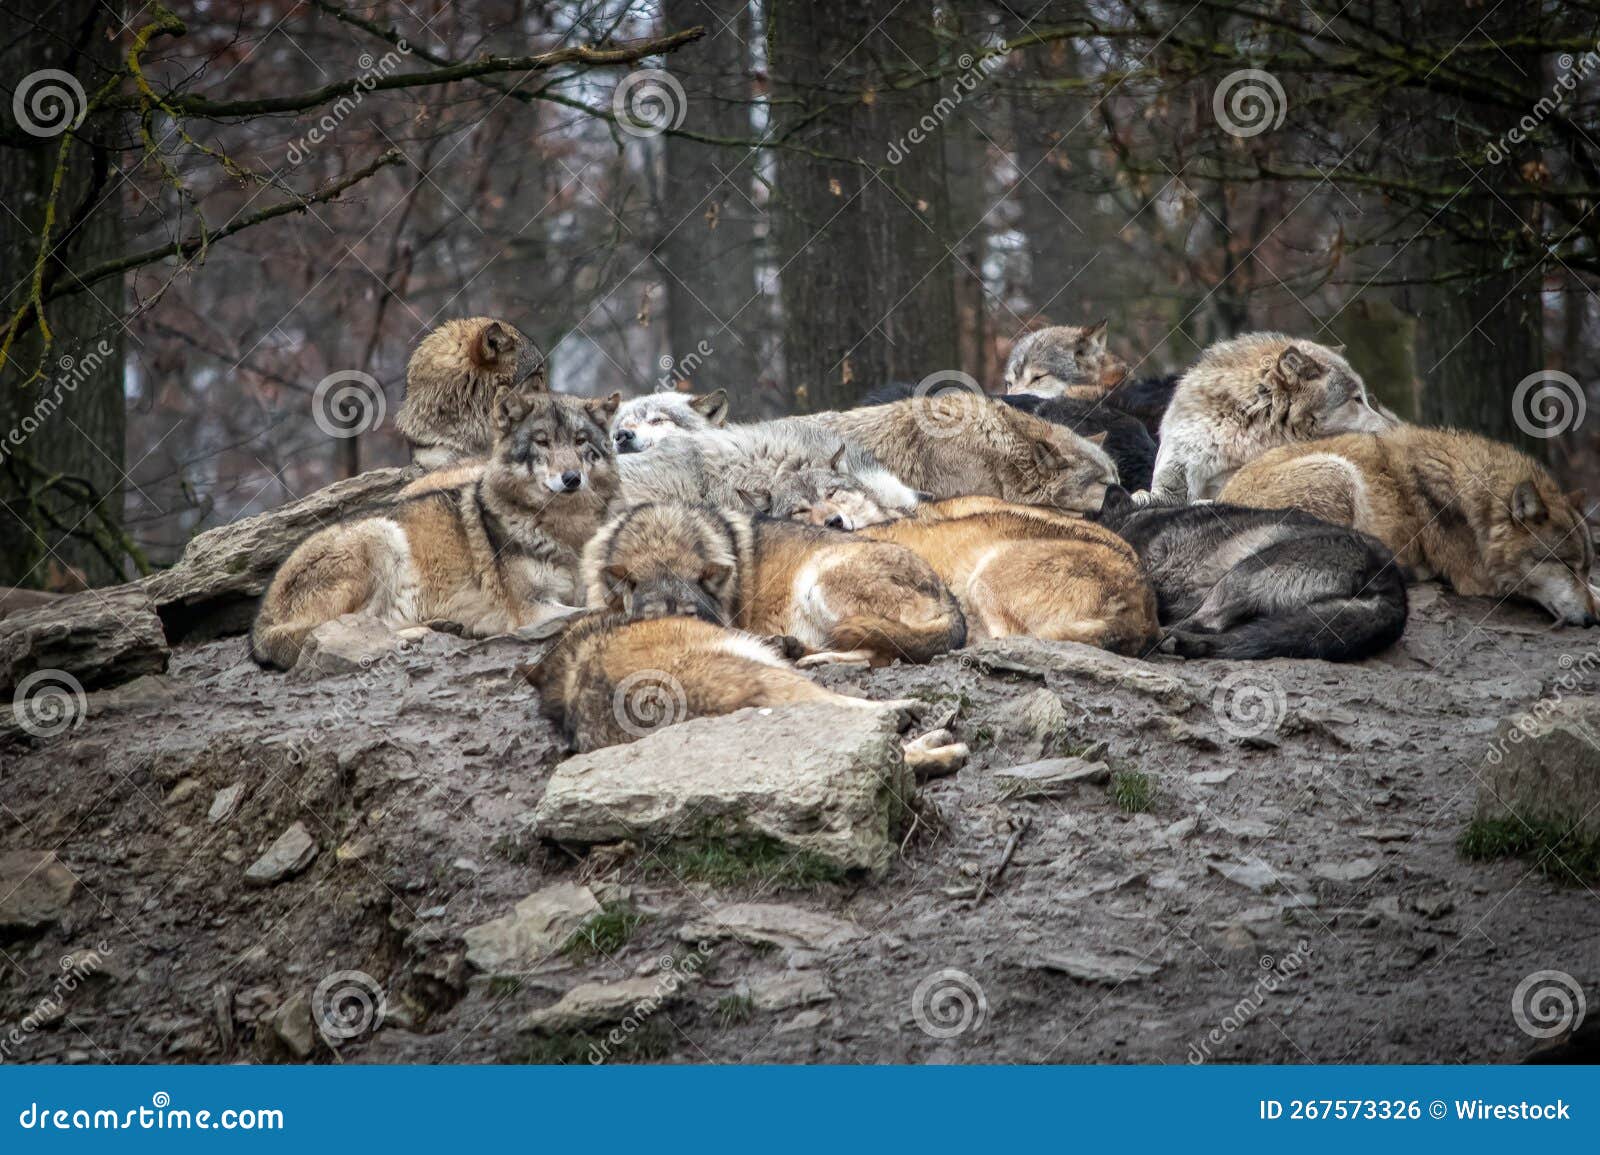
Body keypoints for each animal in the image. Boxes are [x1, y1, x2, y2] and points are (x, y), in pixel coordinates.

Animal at [251, 383, 618, 669]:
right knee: (347, 627)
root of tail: (260, 625)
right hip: (381, 536)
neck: (566, 529)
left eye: (580, 441)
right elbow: (585, 611)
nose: (571, 478)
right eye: (542, 442)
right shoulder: (531, 609)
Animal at [582, 501, 965, 667]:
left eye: (691, 616)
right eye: (655, 618)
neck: (661, 540)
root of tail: (950, 601)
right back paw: (790, 647)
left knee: (872, 652)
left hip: (818, 579)